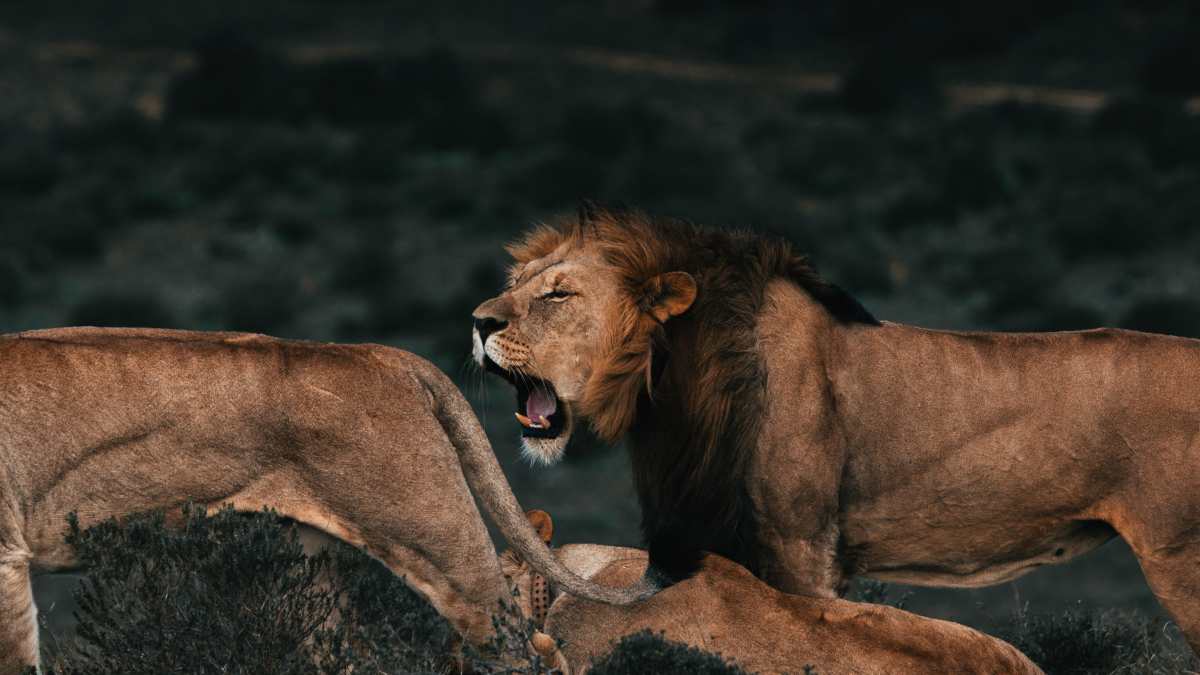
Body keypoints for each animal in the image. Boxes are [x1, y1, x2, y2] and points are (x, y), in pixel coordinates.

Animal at [472, 205, 1200, 655]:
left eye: (558, 294)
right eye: (517, 281)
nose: (478, 322)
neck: (671, 384)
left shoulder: (800, 547)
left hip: (1182, 559)